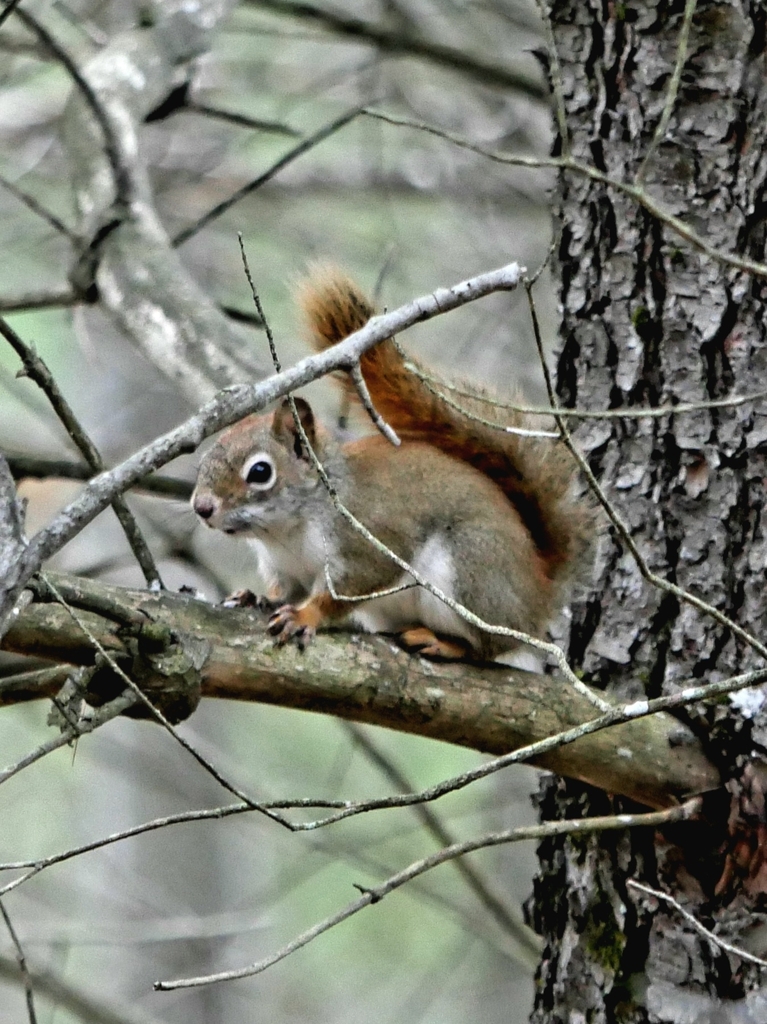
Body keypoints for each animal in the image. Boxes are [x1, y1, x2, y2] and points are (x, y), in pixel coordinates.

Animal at [192, 267, 593, 660]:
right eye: (205, 458)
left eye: (260, 472)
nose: (201, 508)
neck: (284, 532)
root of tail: (537, 596)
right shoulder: (284, 568)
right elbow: (284, 592)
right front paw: (255, 597)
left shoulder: (367, 543)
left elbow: (345, 591)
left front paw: (305, 616)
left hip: (468, 572)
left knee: (483, 647)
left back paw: (441, 642)